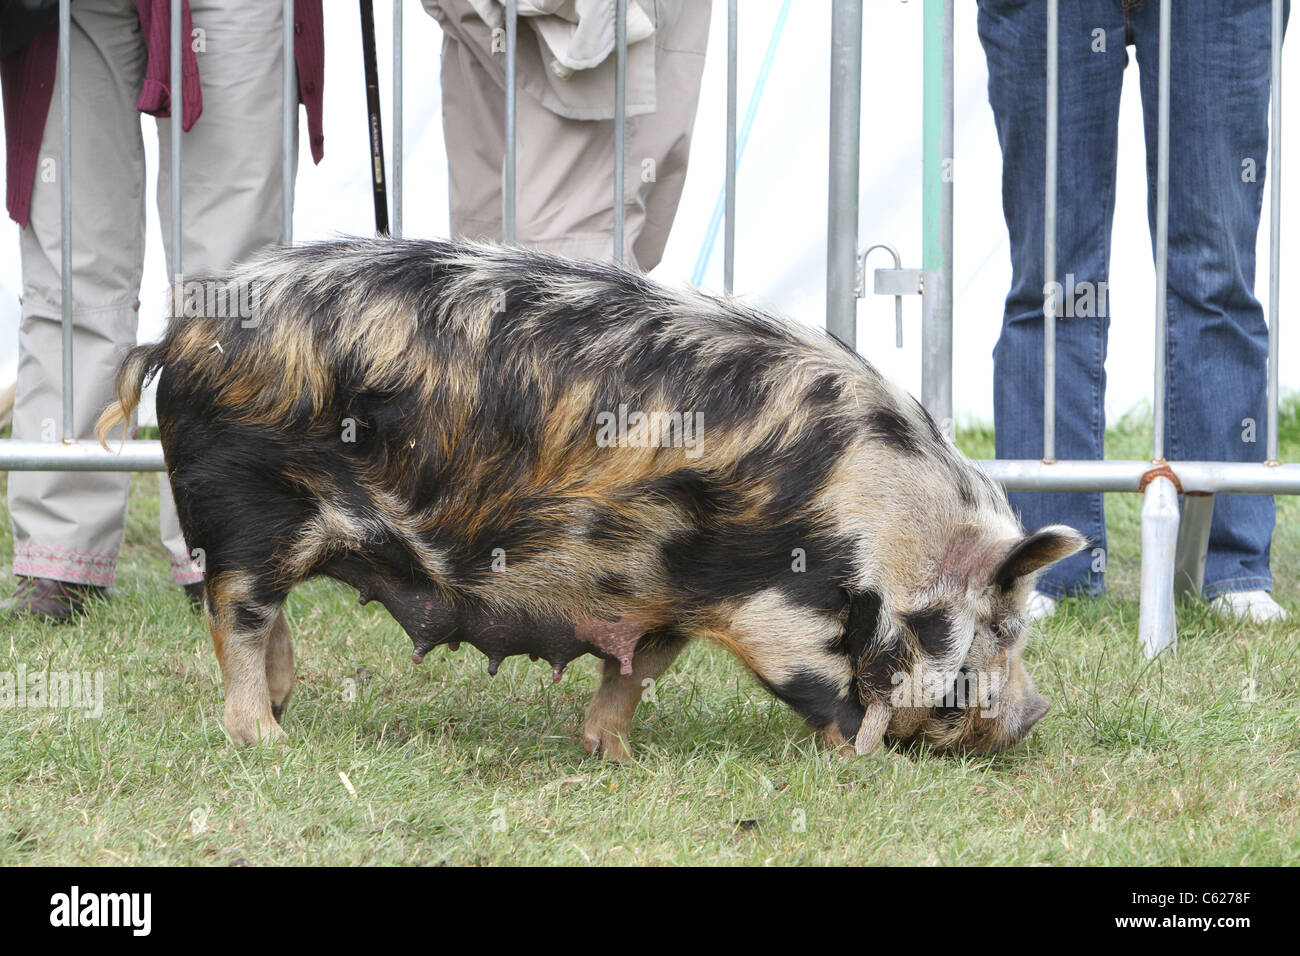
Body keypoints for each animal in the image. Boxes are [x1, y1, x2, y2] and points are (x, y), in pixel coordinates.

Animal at [96, 238, 1084, 759]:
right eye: (1003, 624)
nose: (1036, 714)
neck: (875, 518)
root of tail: (178, 332)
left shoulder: (664, 593)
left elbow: (639, 666)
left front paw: (614, 753)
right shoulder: (774, 598)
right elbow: (823, 685)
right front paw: (862, 757)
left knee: (258, 622)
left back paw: (286, 703)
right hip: (245, 507)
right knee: (234, 613)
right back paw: (265, 737)